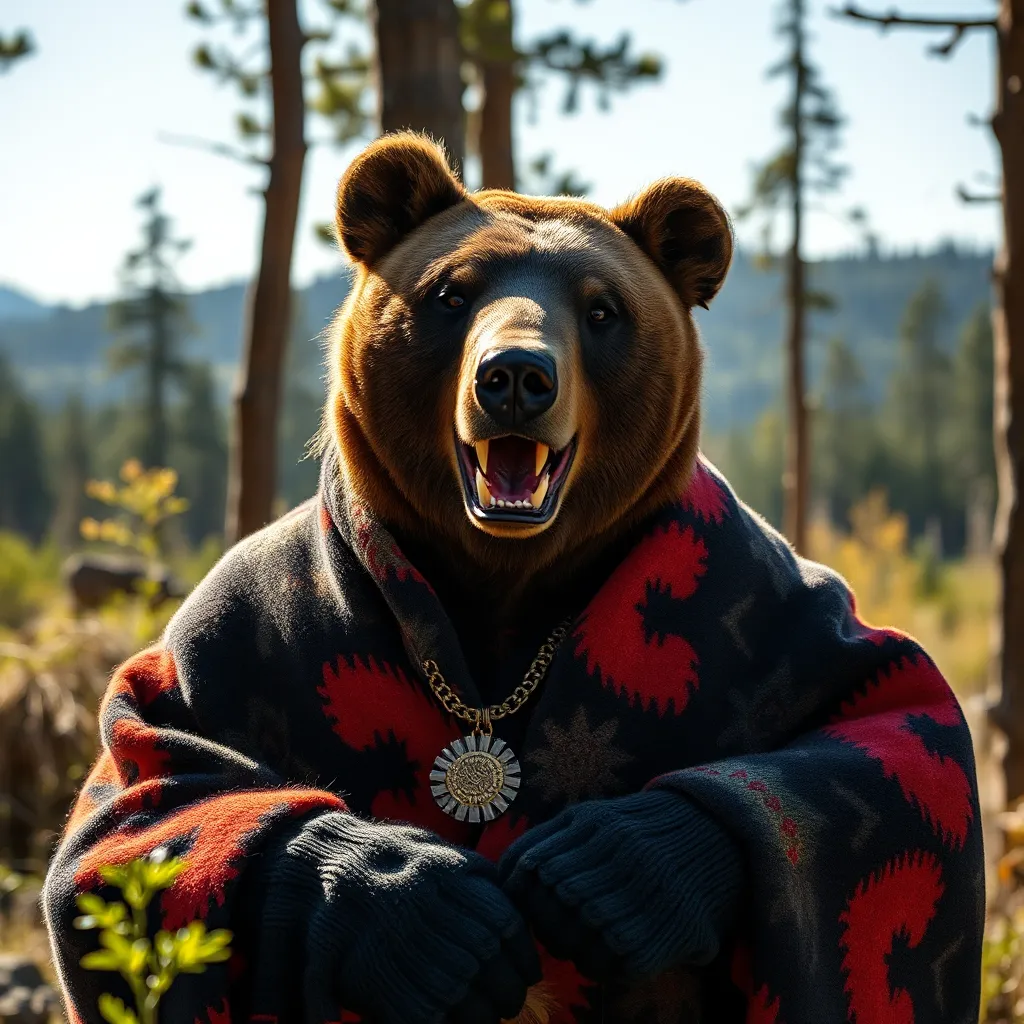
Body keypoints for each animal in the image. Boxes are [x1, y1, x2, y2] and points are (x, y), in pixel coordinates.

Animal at [44, 133, 983, 1024]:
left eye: (601, 309)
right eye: (451, 293)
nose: (516, 377)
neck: (503, 580)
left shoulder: (756, 604)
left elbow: (887, 732)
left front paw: (606, 866)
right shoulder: (249, 631)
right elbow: (143, 802)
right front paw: (428, 914)